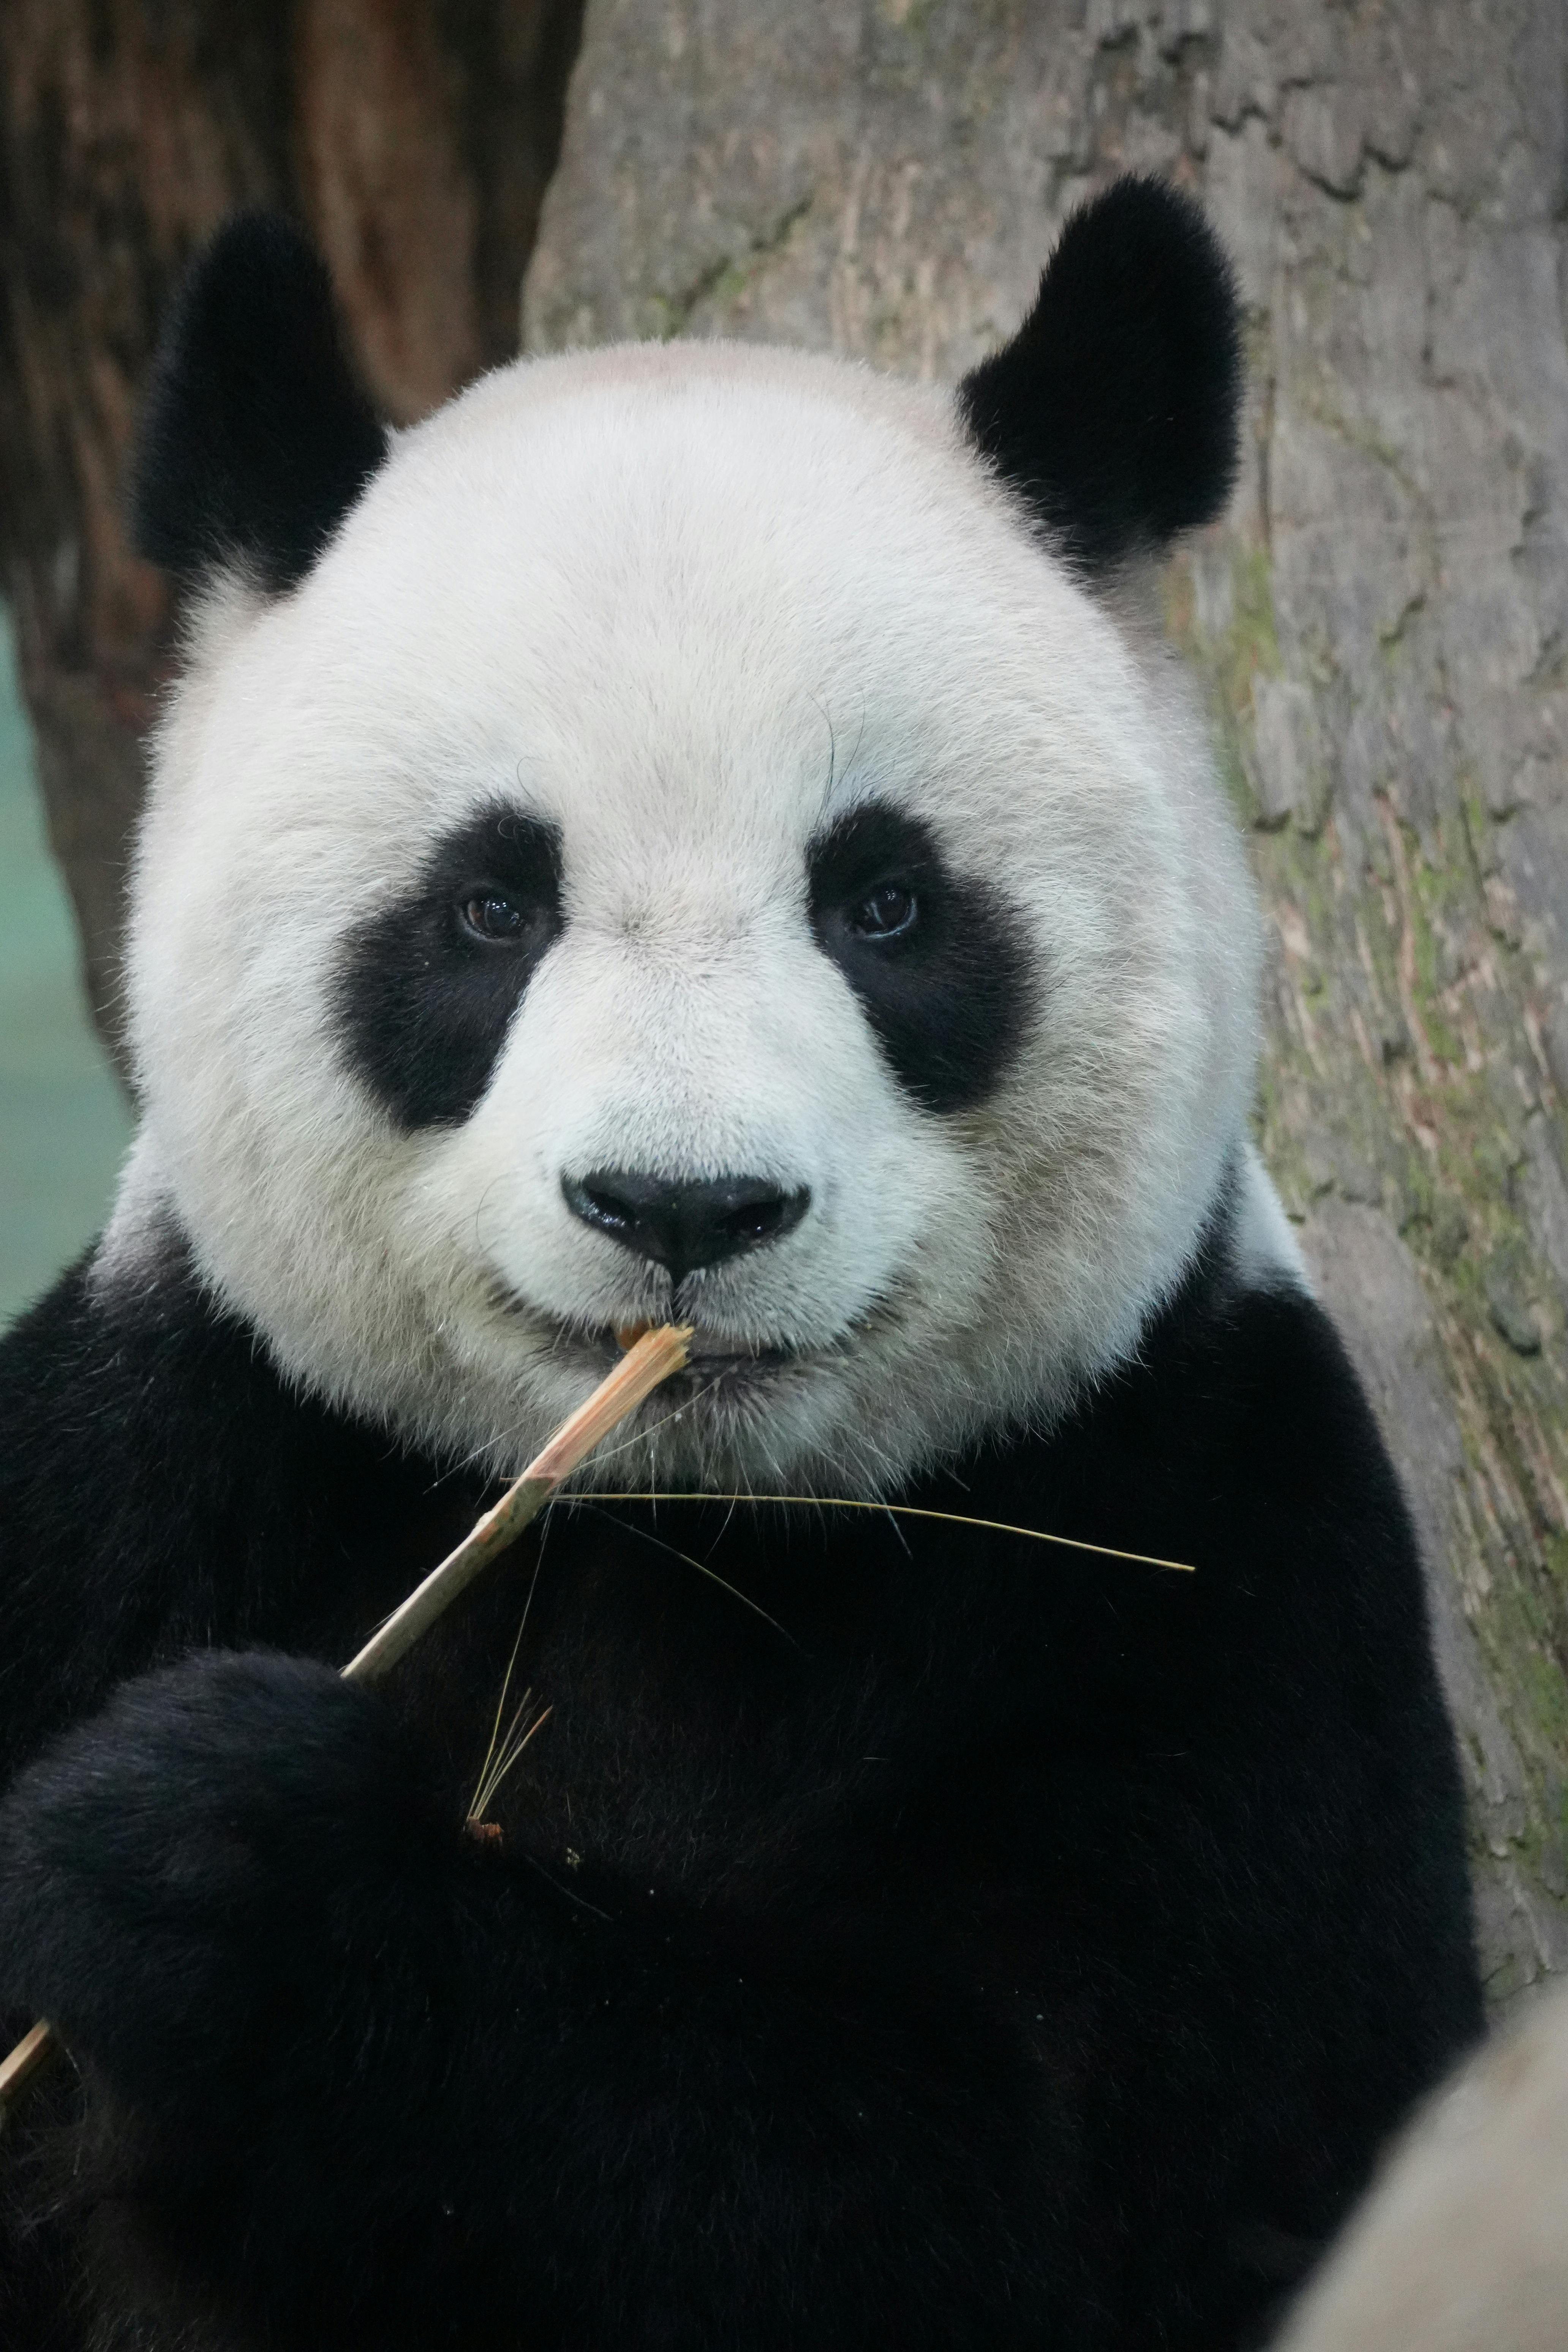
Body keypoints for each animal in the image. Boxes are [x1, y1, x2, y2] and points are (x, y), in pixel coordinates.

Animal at [0, 179, 1480, 2352]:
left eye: (884, 902)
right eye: (487, 906)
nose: (683, 1206)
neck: (675, 1524)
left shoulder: (1201, 1543)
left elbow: (1037, 2181)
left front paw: (232, 1869)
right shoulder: (162, 1447)